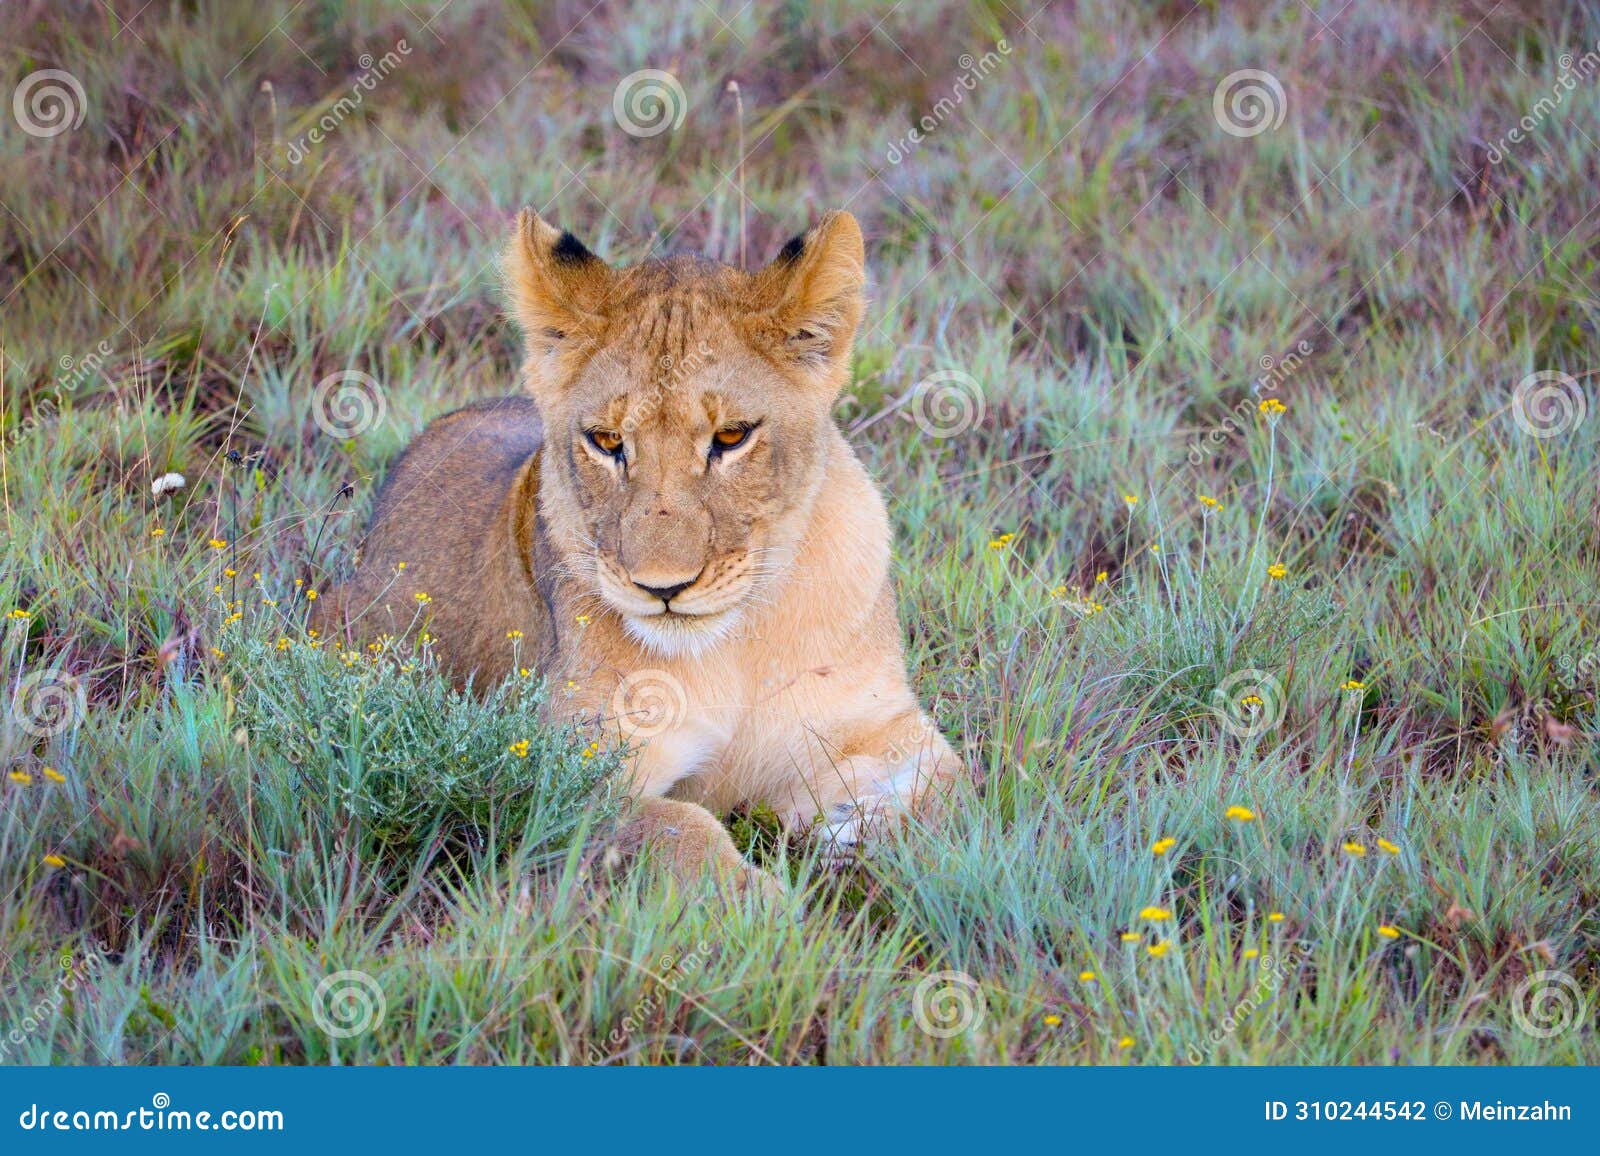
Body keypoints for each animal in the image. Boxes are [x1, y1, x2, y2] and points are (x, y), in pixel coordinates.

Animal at [315, 208, 960, 898]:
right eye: (605, 441)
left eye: (732, 436)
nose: (663, 587)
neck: (732, 648)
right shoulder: (565, 778)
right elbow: (684, 835)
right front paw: (779, 913)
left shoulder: (873, 723)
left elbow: (954, 786)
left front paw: (858, 835)